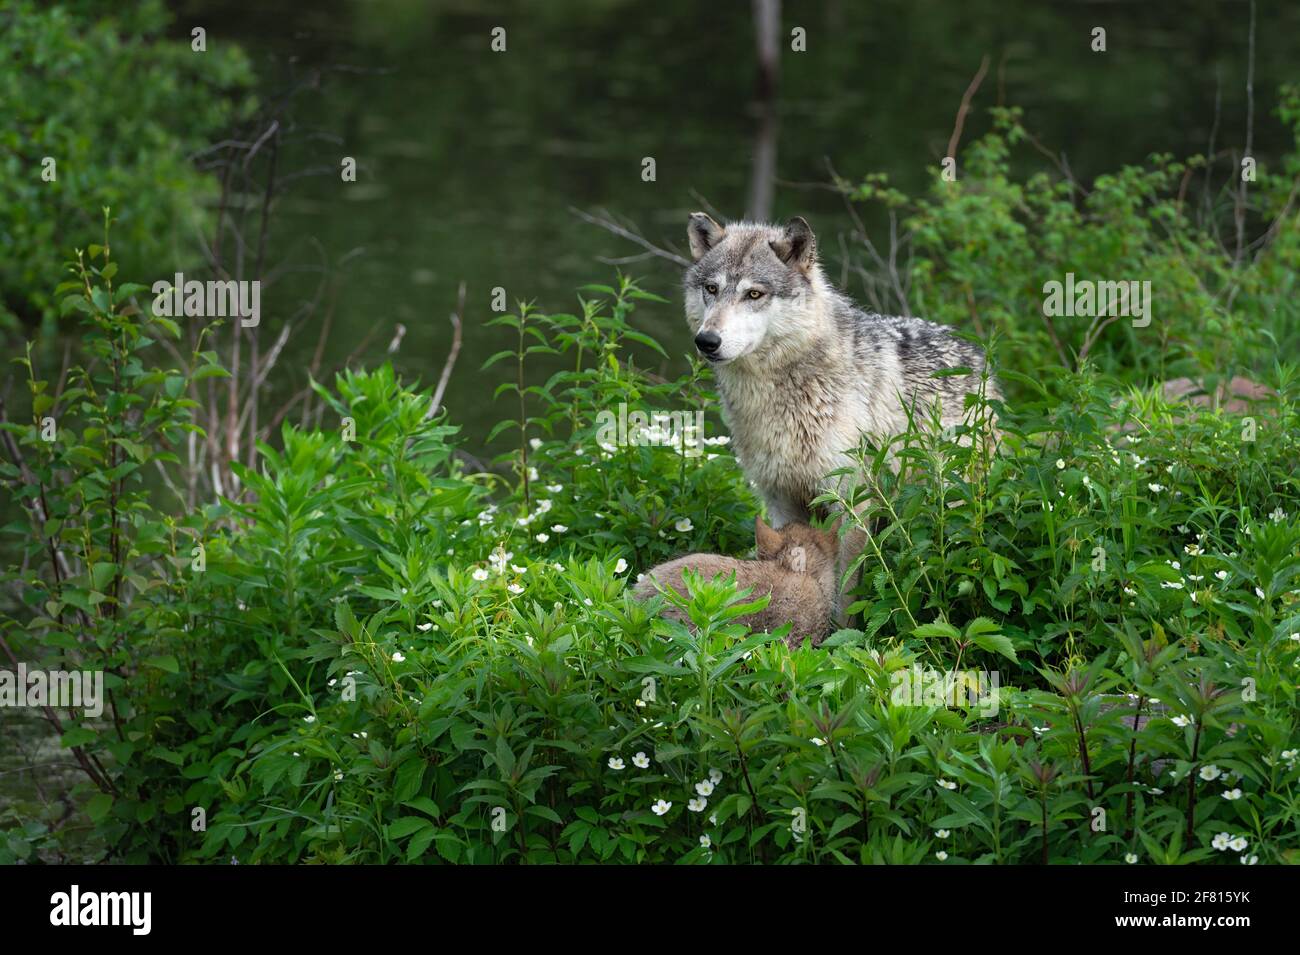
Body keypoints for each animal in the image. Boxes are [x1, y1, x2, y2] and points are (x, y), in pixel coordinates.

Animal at [682, 213, 998, 603]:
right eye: (711, 289)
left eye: (753, 294)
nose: (707, 341)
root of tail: (976, 354)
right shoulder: (780, 499)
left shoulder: (851, 506)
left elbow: (846, 594)